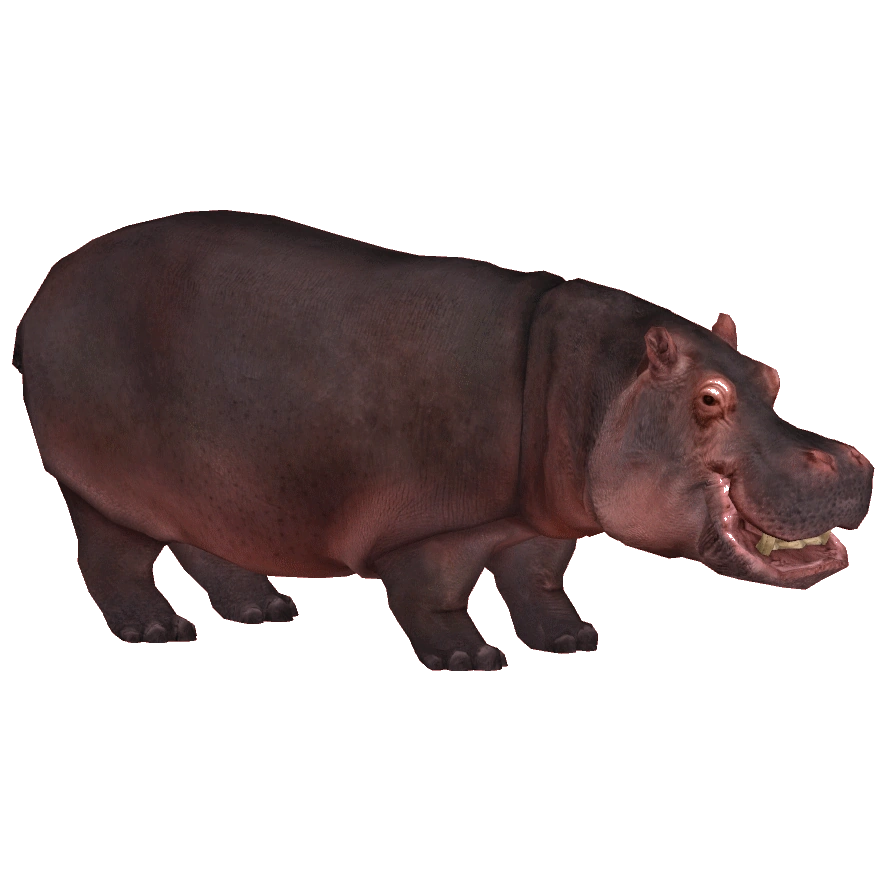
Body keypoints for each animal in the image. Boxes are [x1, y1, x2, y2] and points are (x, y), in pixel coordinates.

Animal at [12, 210, 873, 670]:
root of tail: (42, 293)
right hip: (106, 488)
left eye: (770, 374)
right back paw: (158, 632)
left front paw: (572, 640)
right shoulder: (436, 529)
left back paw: (267, 609)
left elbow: (539, 580)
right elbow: (434, 593)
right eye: (707, 398)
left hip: (213, 485)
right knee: (113, 559)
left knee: (208, 546)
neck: (602, 381)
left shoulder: (537, 524)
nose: (851, 460)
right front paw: (472, 658)